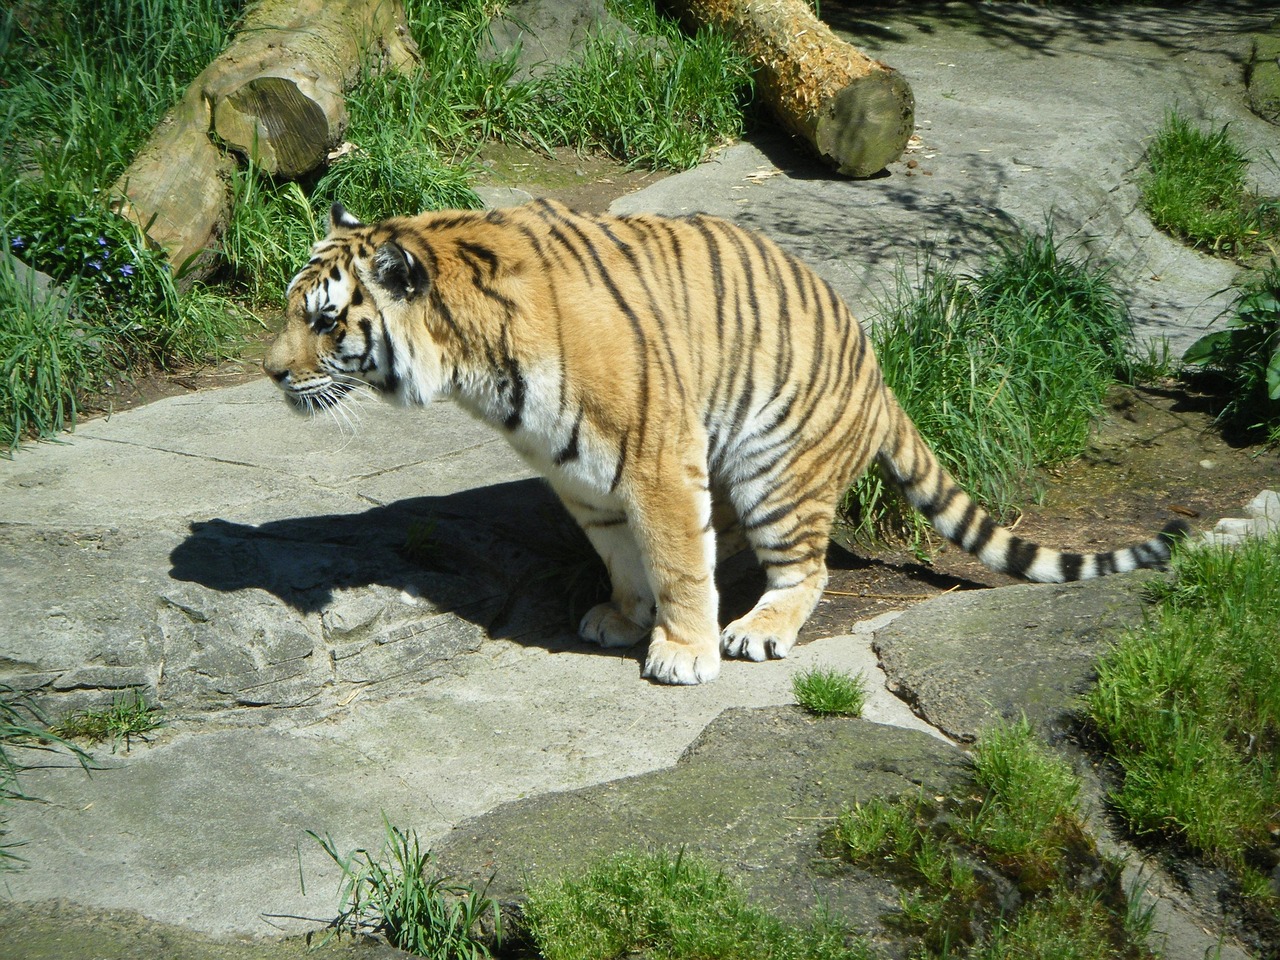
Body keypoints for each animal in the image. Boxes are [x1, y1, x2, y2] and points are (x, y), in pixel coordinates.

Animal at [264, 199, 1188, 686]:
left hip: (775, 466)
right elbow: (624, 557)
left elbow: (676, 560)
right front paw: (622, 616)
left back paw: (756, 629)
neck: (471, 369)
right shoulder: (582, 477)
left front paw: (682, 650)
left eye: (324, 320)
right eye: (289, 309)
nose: (272, 373)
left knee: (806, 569)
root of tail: (877, 370)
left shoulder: (655, 460)